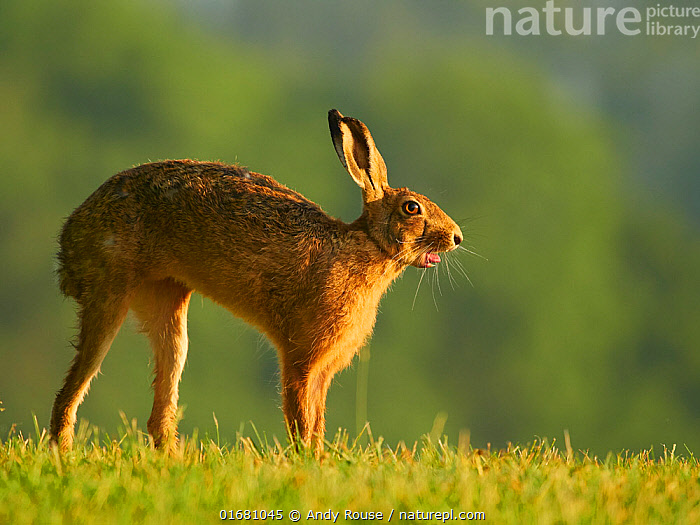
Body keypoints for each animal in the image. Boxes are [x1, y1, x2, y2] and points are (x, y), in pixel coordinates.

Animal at [50, 109, 463, 451]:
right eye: (412, 208)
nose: (457, 237)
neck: (368, 247)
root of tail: (70, 239)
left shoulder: (323, 371)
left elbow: (317, 422)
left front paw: (318, 460)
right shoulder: (300, 360)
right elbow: (302, 420)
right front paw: (306, 463)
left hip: (168, 307)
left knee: (159, 405)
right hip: (109, 292)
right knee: (71, 390)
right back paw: (63, 454)